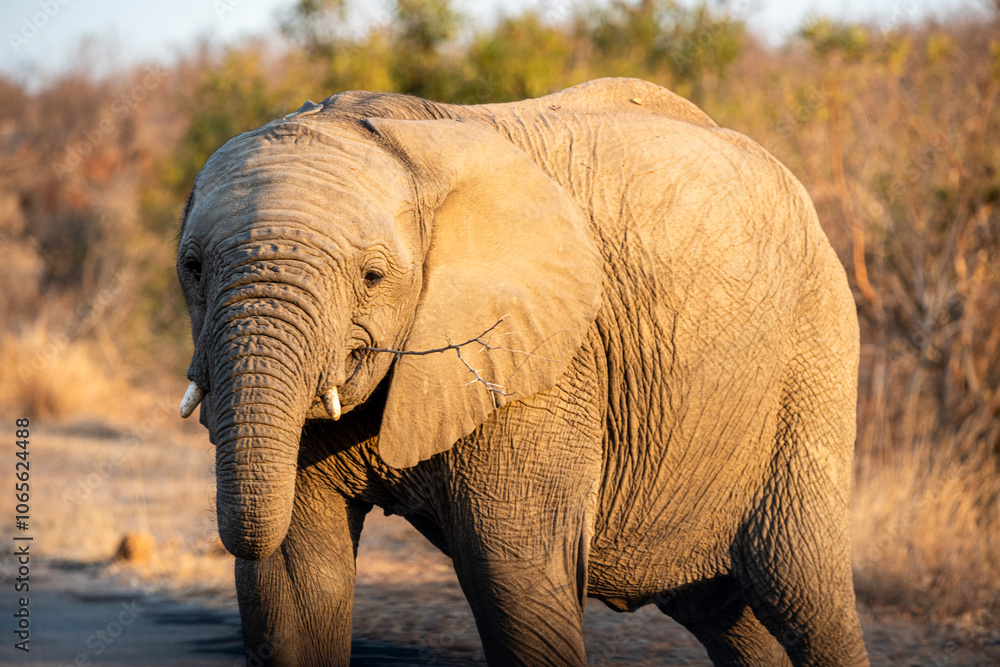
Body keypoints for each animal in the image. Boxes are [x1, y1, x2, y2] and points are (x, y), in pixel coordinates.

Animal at [176, 77, 868, 666]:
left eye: (371, 276)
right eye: (192, 267)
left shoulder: (545, 361)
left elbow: (515, 574)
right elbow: (293, 578)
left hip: (813, 352)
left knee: (802, 591)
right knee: (724, 611)